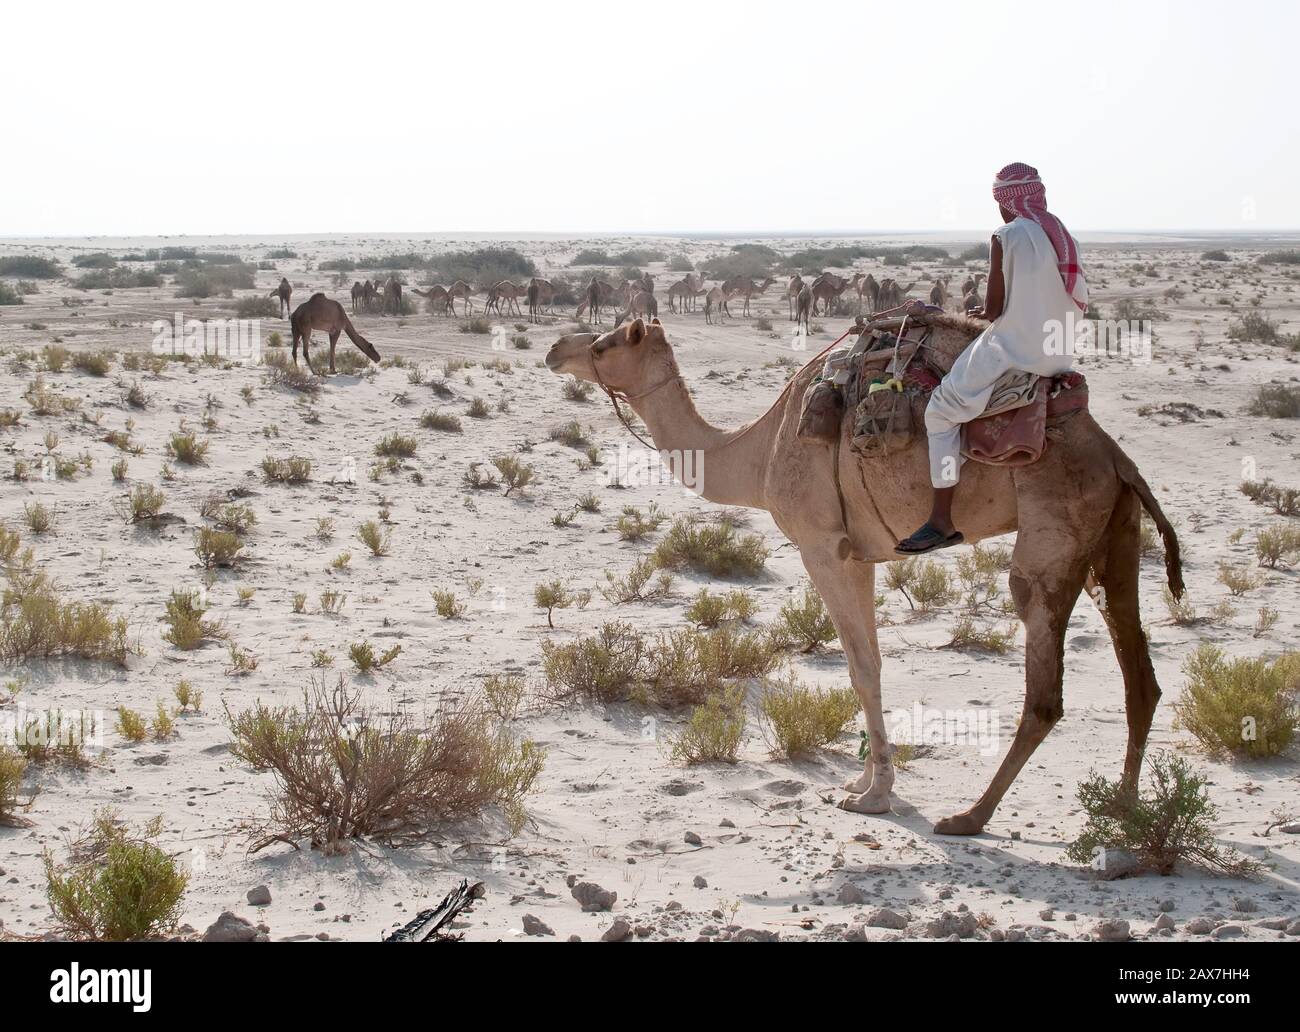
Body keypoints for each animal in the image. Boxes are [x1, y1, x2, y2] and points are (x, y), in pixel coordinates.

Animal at [543, 316, 1182, 835]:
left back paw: (971, 816)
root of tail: (1118, 458)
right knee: (1139, 674)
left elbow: (861, 667)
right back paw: (1122, 808)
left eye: (601, 346)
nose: (554, 349)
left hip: (1054, 529)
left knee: (1045, 687)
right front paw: (861, 781)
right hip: (1111, 536)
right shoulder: (862, 556)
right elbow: (869, 662)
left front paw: (873, 796)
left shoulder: (823, 548)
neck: (760, 451)